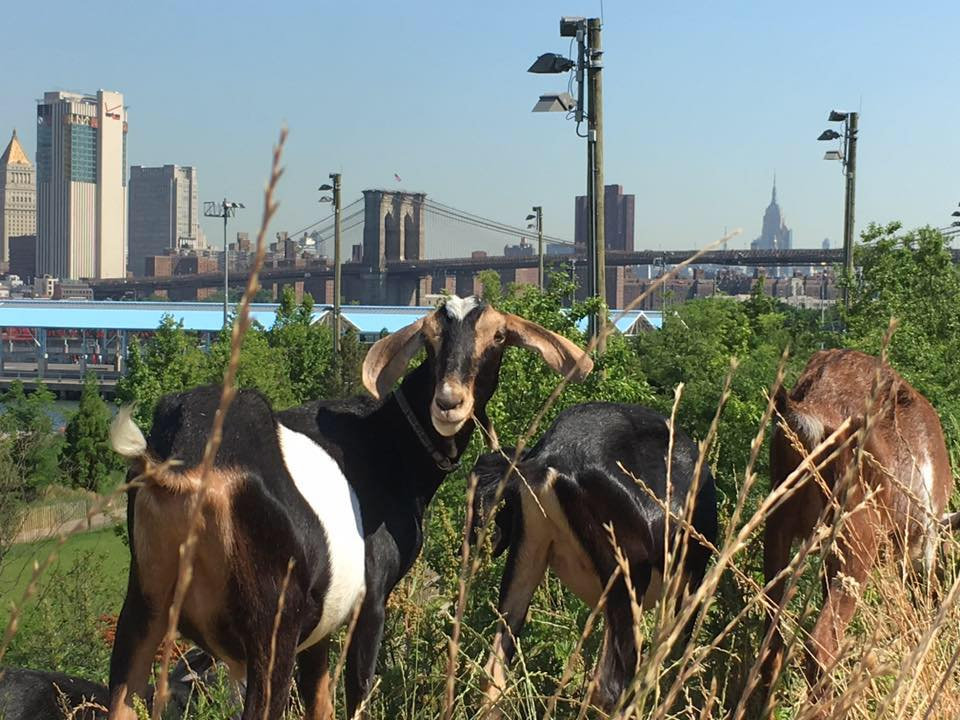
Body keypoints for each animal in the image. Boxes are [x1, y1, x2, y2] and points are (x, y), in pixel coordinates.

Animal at [106, 296, 592, 720]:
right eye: (430, 340)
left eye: (497, 337)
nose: (449, 402)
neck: (388, 444)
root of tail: (188, 466)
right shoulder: (371, 599)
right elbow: (358, 693)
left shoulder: (318, 626)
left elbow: (321, 704)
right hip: (270, 627)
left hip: (143, 608)